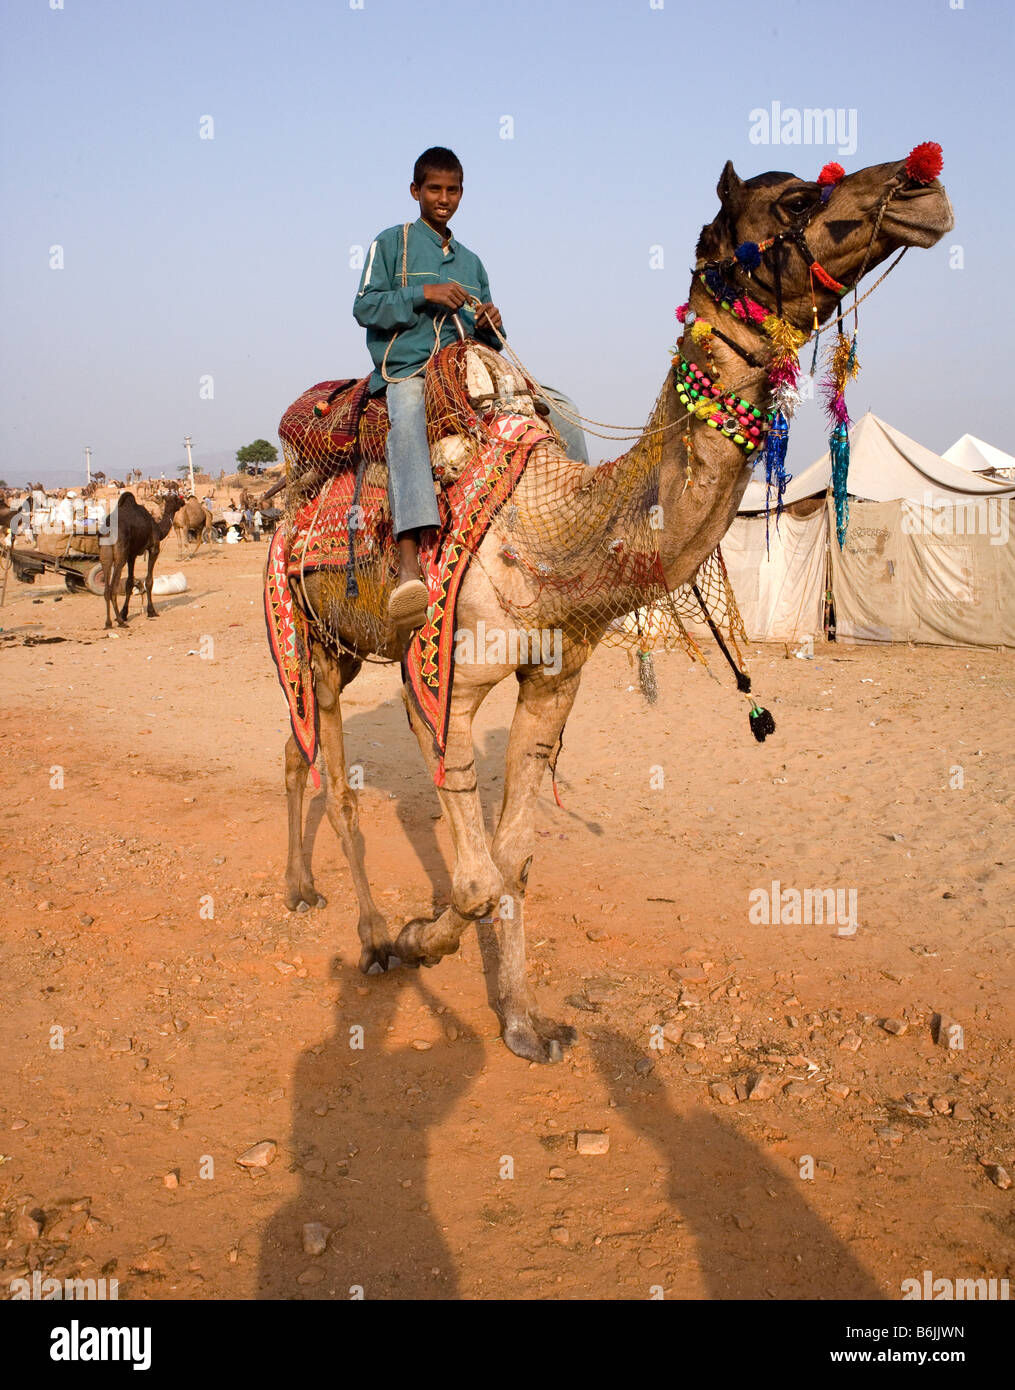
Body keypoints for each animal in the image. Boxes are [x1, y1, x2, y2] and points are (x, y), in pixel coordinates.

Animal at [100, 491, 184, 628]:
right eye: (177, 497)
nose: (184, 502)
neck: (158, 528)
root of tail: (109, 531)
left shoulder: (132, 555)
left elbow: (129, 582)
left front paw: (124, 613)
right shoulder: (154, 548)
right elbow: (149, 580)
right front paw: (151, 611)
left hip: (105, 556)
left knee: (107, 588)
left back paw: (108, 623)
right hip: (120, 556)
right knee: (113, 588)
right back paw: (121, 622)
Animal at [277, 154, 952, 1062]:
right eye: (795, 198)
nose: (922, 183)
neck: (555, 533)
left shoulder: (552, 685)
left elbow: (514, 863)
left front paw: (524, 1024)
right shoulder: (440, 681)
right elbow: (475, 877)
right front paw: (421, 938)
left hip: (343, 644)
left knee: (297, 753)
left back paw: (308, 891)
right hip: (306, 629)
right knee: (333, 780)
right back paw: (369, 931)